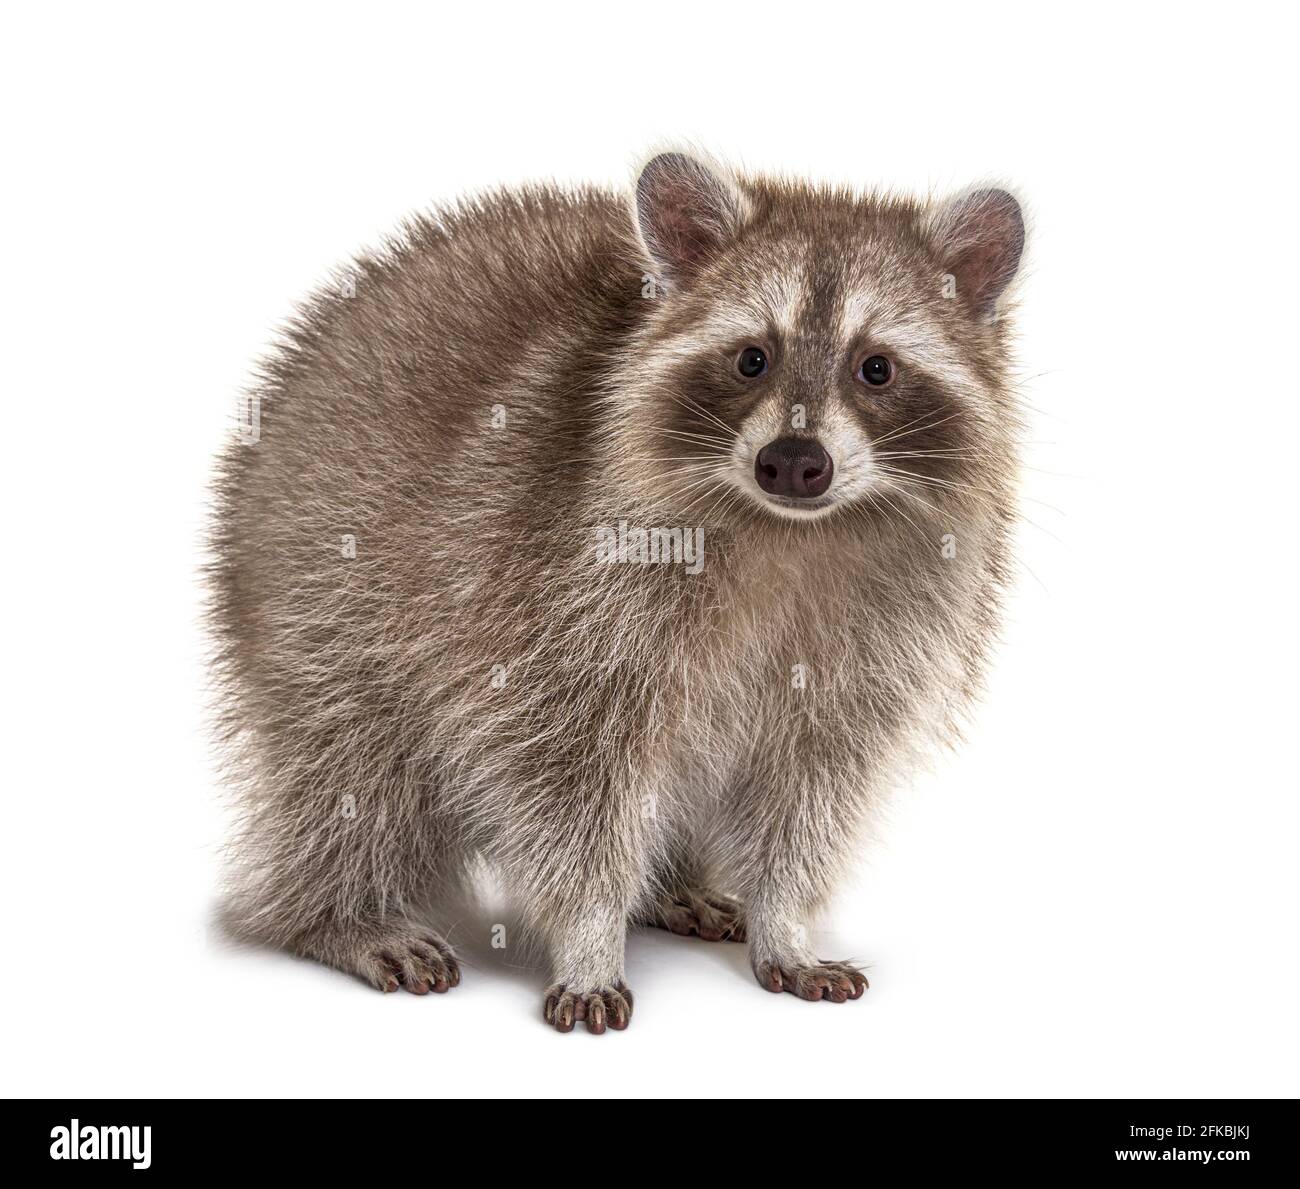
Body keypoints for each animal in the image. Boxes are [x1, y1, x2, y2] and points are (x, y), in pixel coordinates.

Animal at [209, 150, 1026, 1034]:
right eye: (752, 357)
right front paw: (590, 935)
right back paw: (336, 914)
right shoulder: (549, 580)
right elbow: (564, 776)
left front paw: (784, 919)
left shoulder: (894, 623)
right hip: (314, 587)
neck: (787, 531)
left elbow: (810, 786)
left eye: (875, 367)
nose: (793, 460)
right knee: (351, 770)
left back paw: (670, 884)